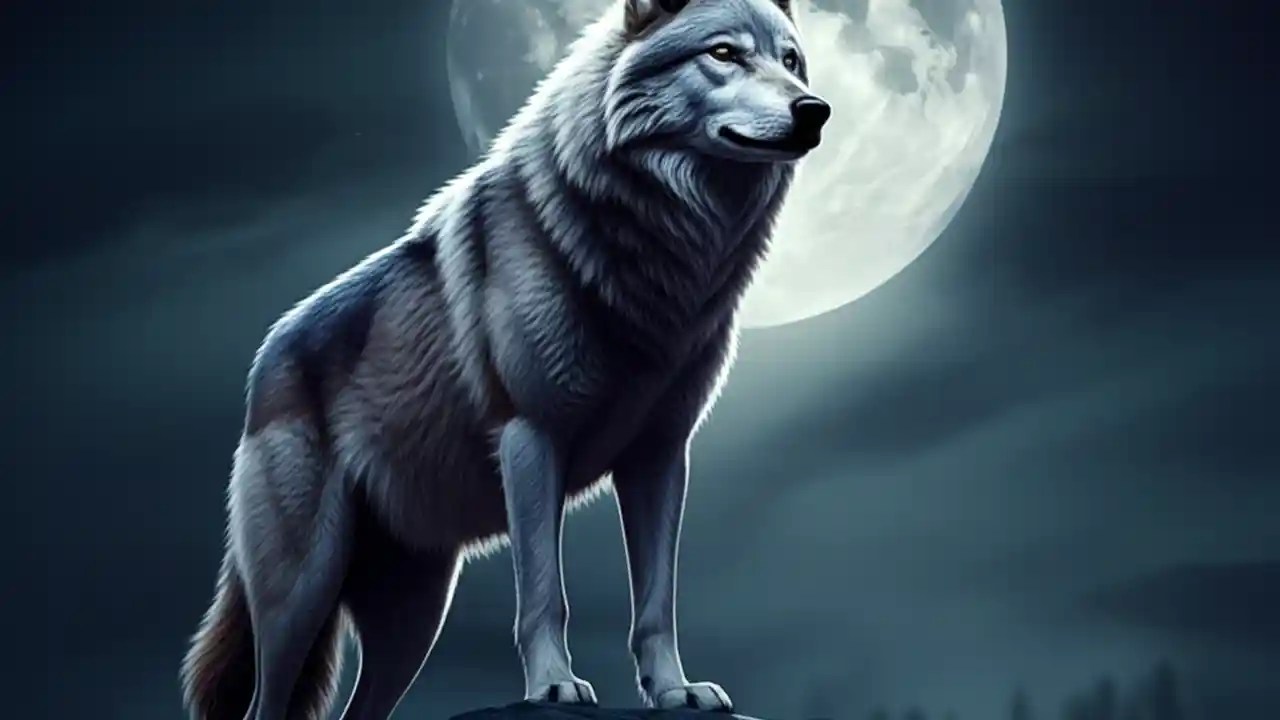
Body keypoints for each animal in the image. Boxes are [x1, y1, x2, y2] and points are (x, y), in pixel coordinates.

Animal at [180, 0, 829, 717]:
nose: (815, 110)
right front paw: (554, 685)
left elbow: (657, 601)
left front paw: (674, 690)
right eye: (723, 53)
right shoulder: (531, 438)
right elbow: (545, 592)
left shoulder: (659, 454)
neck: (659, 252)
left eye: (791, 60)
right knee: (267, 700)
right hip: (302, 595)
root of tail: (266, 355)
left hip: (415, 618)